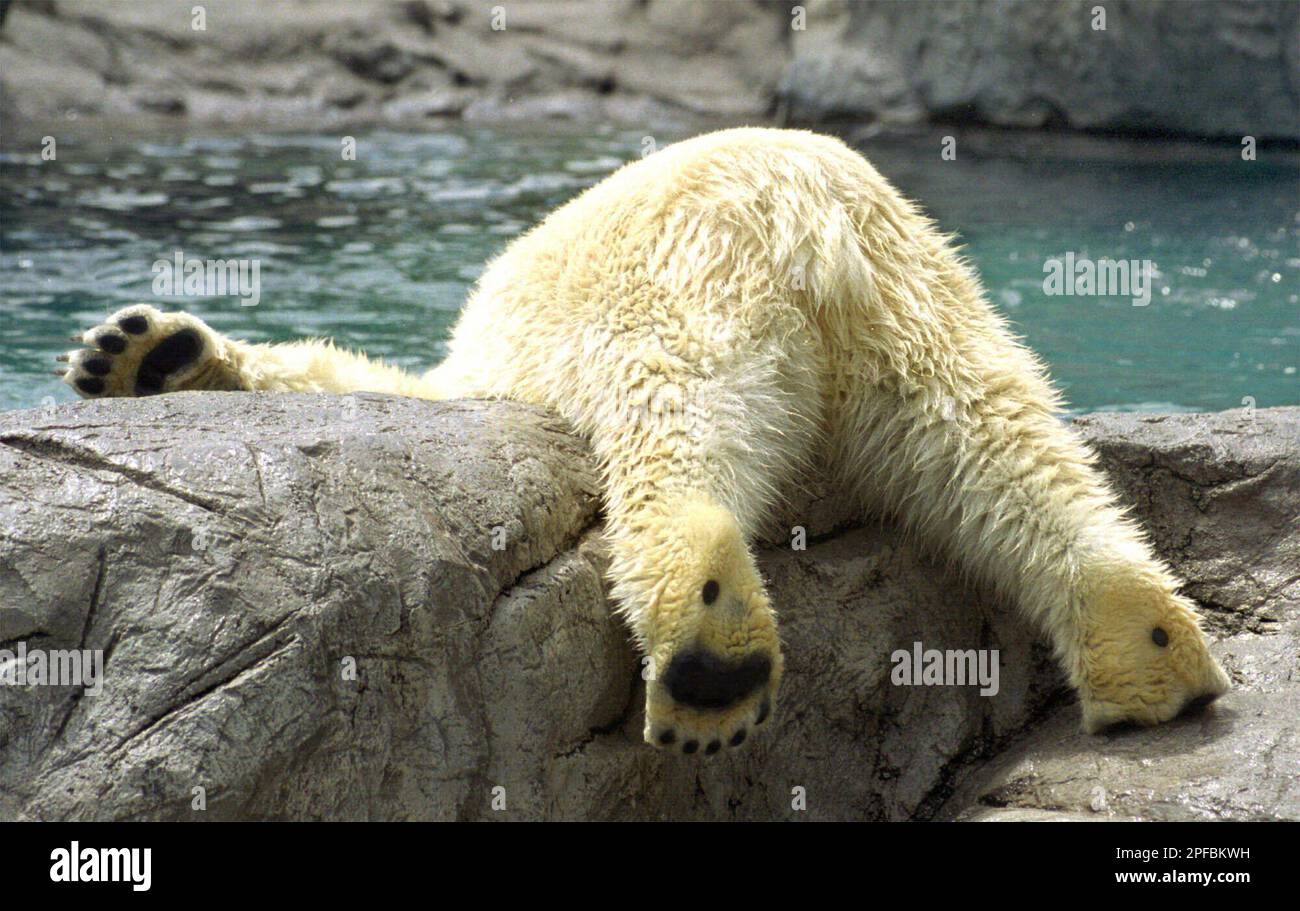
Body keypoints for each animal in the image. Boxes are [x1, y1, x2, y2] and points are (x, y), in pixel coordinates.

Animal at [61, 127, 1230, 754]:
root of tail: (811, 220)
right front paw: (147, 354)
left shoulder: (497, 367)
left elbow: (379, 385)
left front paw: (140, 354)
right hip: (925, 307)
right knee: (1002, 447)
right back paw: (1146, 643)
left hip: (668, 286)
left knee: (672, 418)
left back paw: (709, 638)